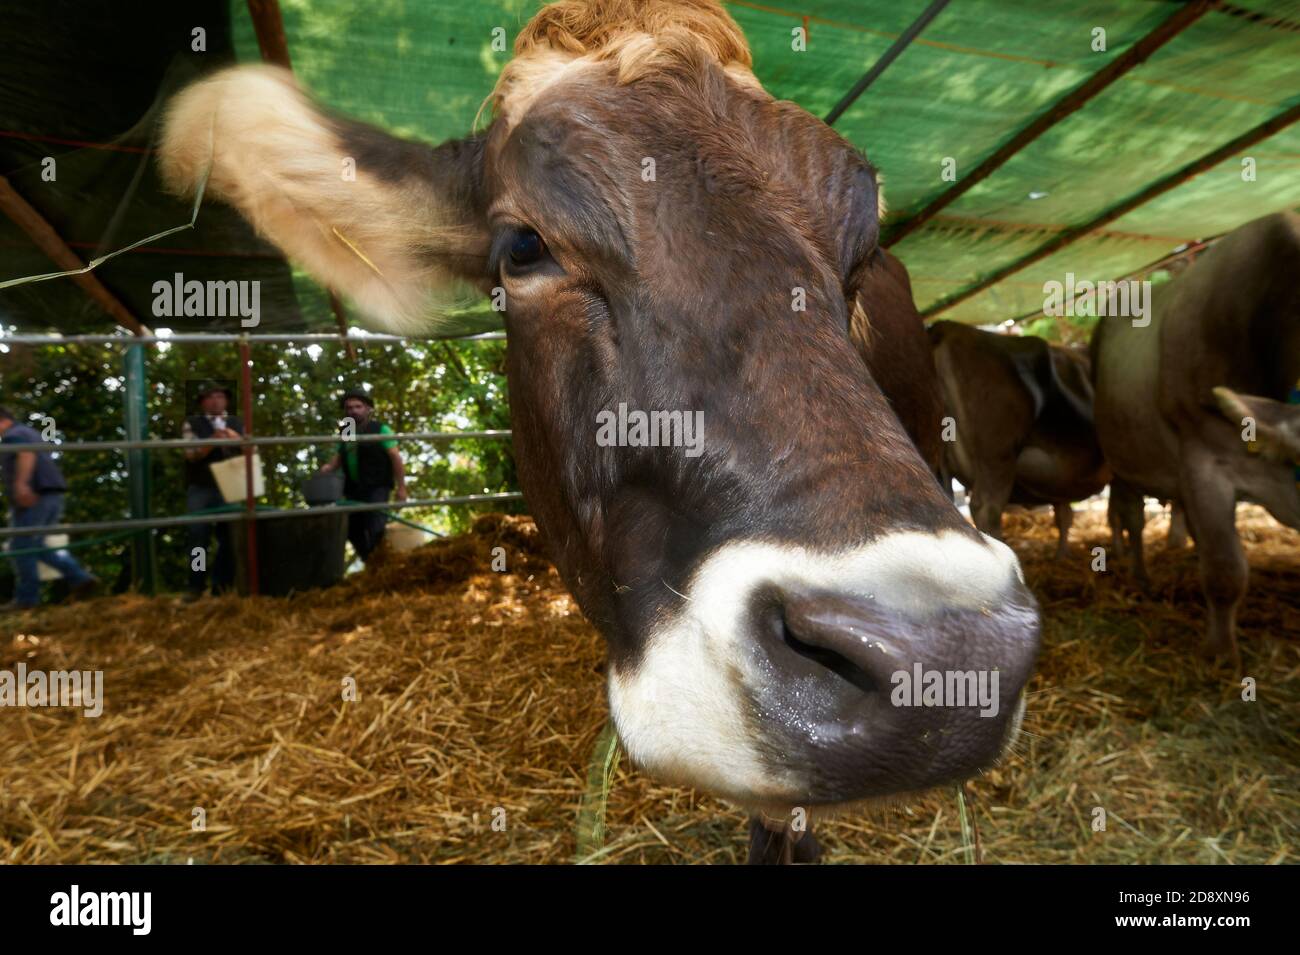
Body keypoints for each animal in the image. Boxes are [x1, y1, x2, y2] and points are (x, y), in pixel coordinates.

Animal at [1092, 211, 1300, 671]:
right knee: (1130, 518)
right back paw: (1140, 576)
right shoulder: (1205, 461)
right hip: (1122, 458)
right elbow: (1225, 569)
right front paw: (1219, 652)